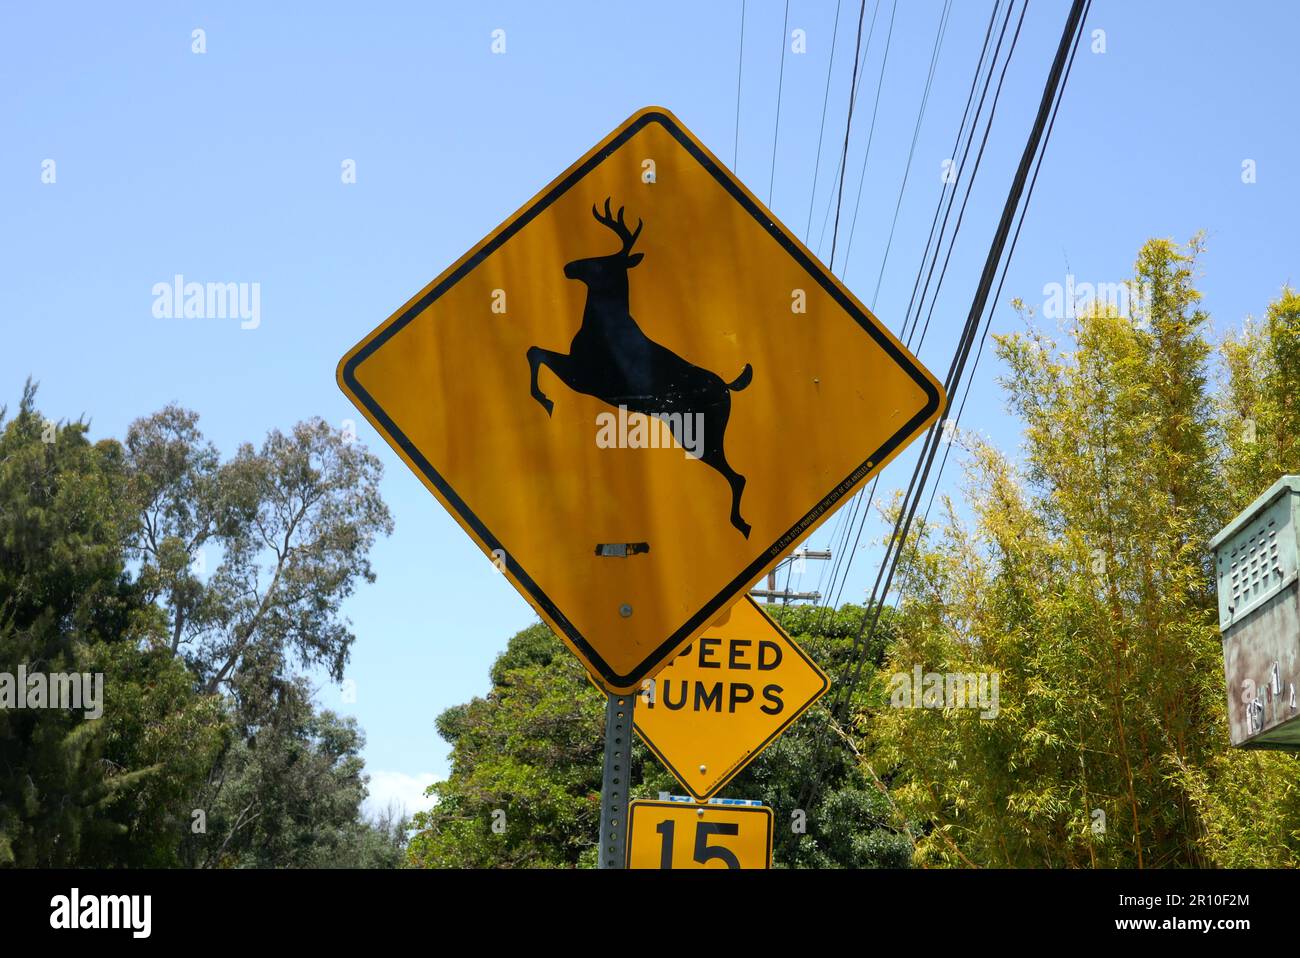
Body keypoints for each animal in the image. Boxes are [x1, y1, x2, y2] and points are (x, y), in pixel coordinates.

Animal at [527, 198, 753, 538]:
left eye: (603, 262)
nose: (569, 267)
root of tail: (728, 387)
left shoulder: (585, 376)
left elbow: (536, 352)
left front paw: (546, 400)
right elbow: (535, 351)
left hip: (700, 431)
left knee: (736, 475)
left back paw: (741, 524)